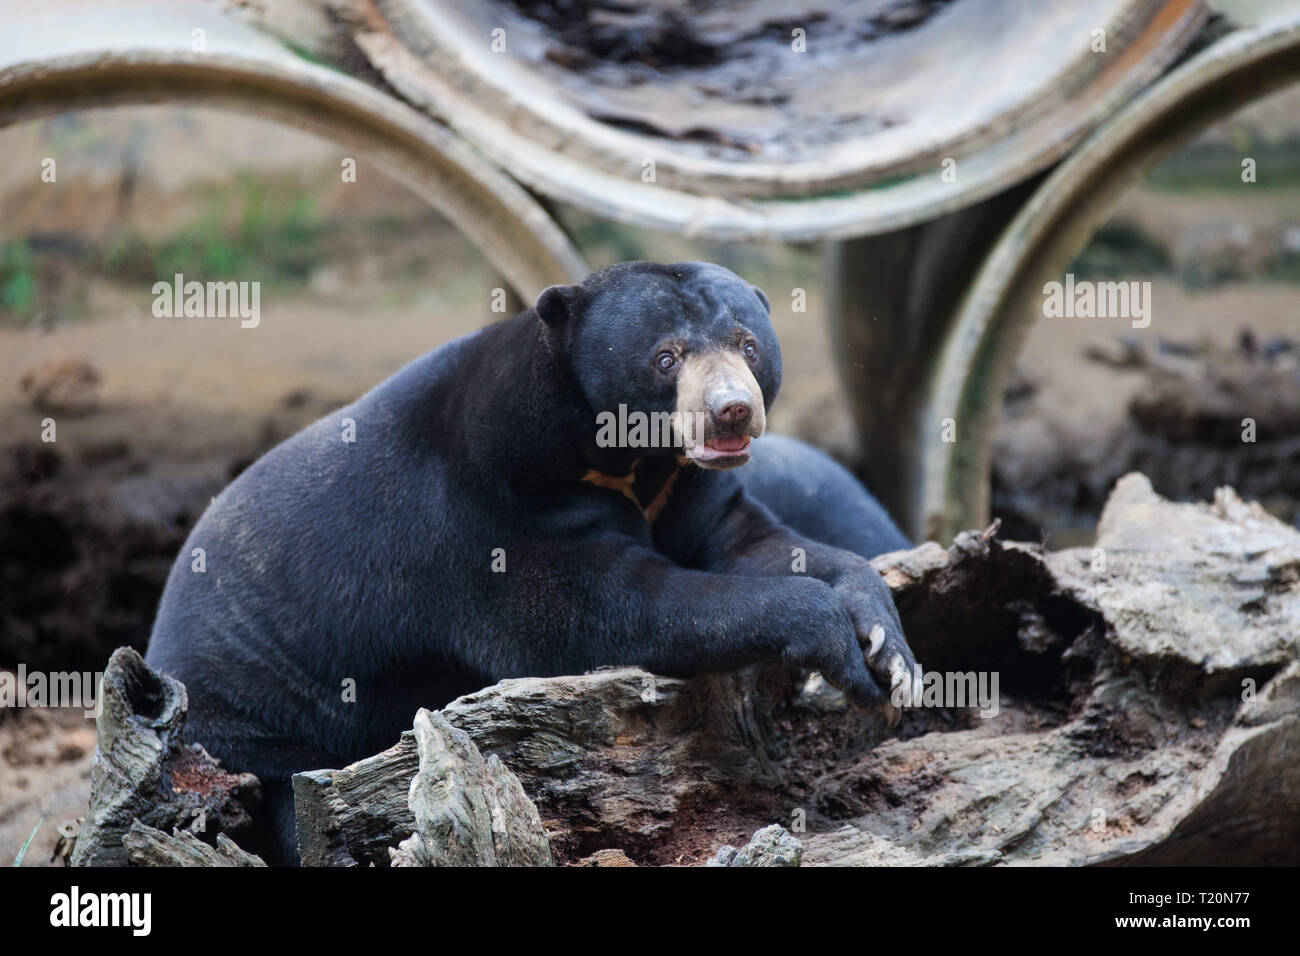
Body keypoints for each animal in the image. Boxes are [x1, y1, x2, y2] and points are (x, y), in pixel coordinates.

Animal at [145, 260, 920, 865]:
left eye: (748, 344)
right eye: (665, 357)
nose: (731, 411)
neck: (621, 457)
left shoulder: (688, 488)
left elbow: (754, 543)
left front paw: (891, 653)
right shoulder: (493, 509)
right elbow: (607, 609)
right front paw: (833, 641)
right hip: (247, 726)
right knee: (284, 804)